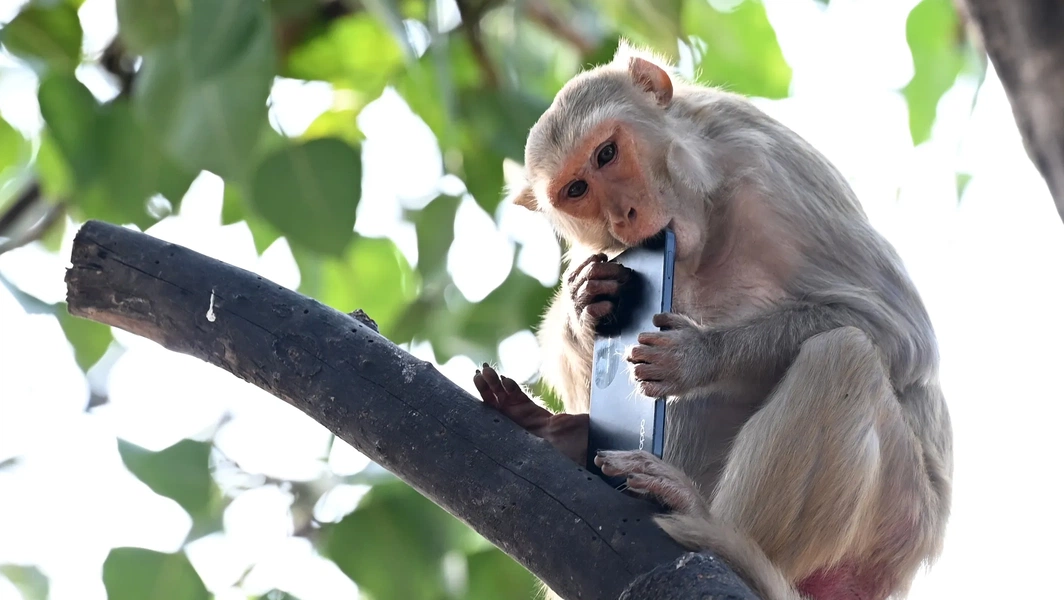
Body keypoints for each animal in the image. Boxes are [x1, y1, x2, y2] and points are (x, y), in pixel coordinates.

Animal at [472, 42, 952, 600]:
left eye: (606, 154)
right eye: (576, 189)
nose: (622, 216)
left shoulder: (769, 168)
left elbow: (898, 330)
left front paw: (698, 356)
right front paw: (585, 302)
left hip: (897, 522)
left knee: (843, 355)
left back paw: (703, 518)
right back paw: (555, 433)